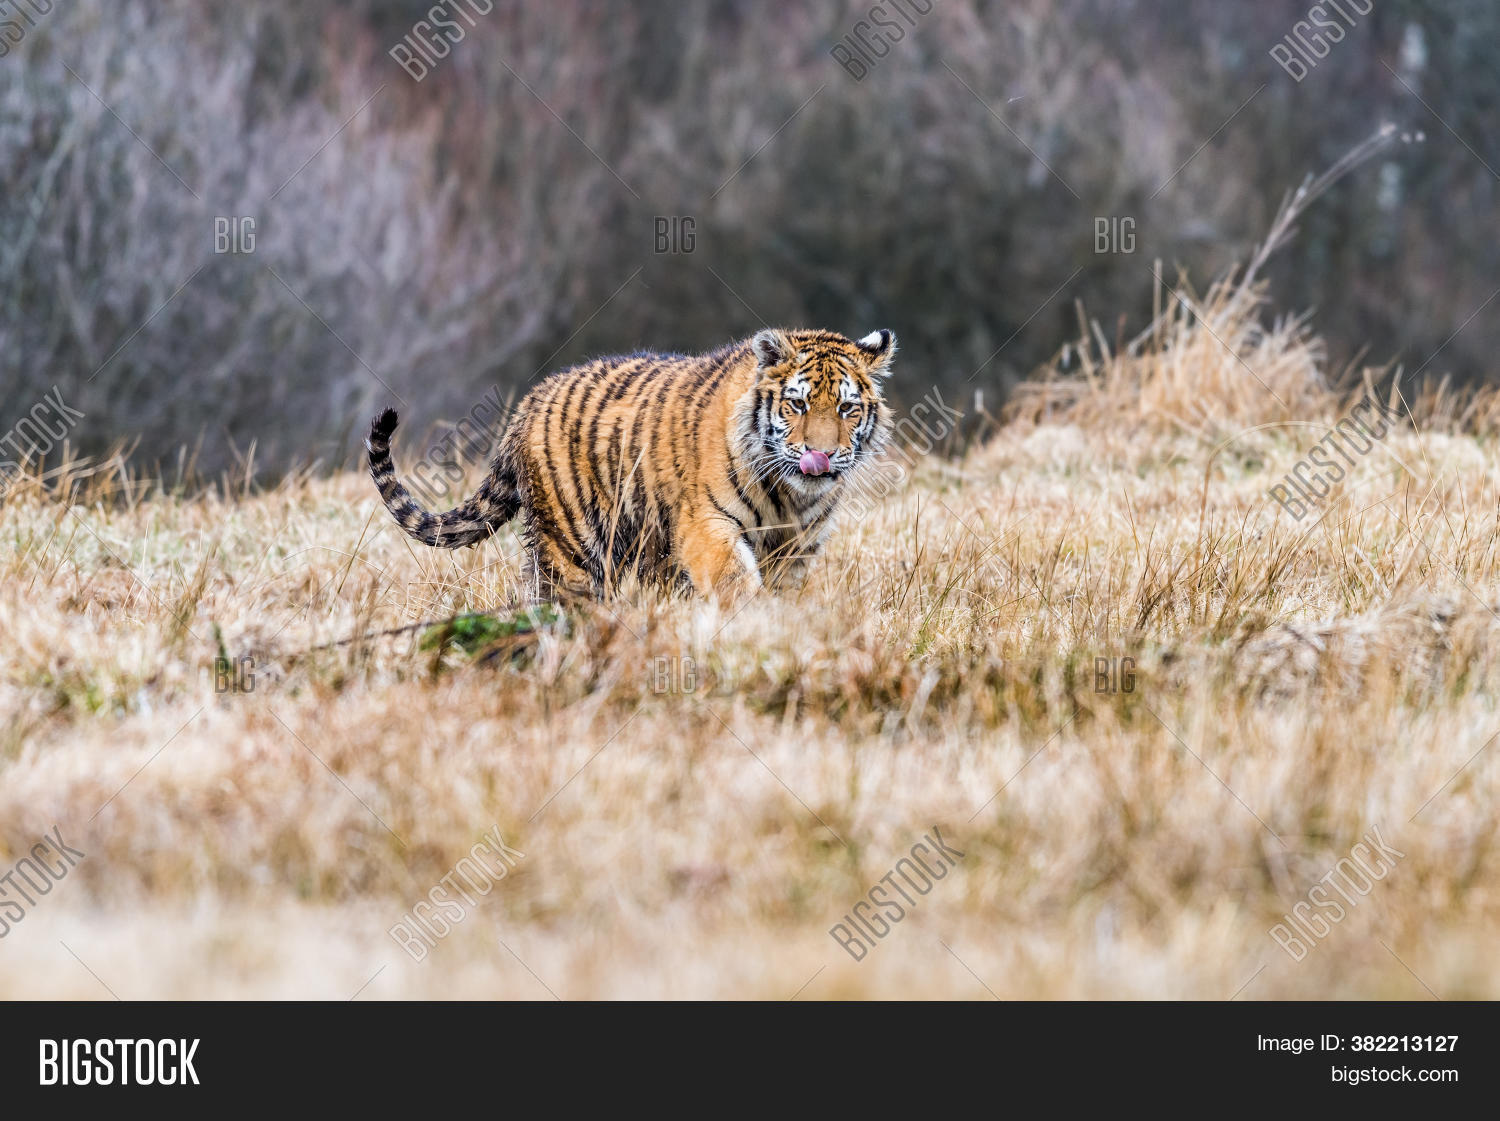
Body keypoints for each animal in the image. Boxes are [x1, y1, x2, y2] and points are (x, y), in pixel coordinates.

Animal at [366, 327, 896, 601]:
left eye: (847, 408)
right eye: (797, 404)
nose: (820, 456)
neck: (788, 497)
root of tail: (531, 401)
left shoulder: (798, 548)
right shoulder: (706, 524)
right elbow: (734, 579)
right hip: (572, 547)